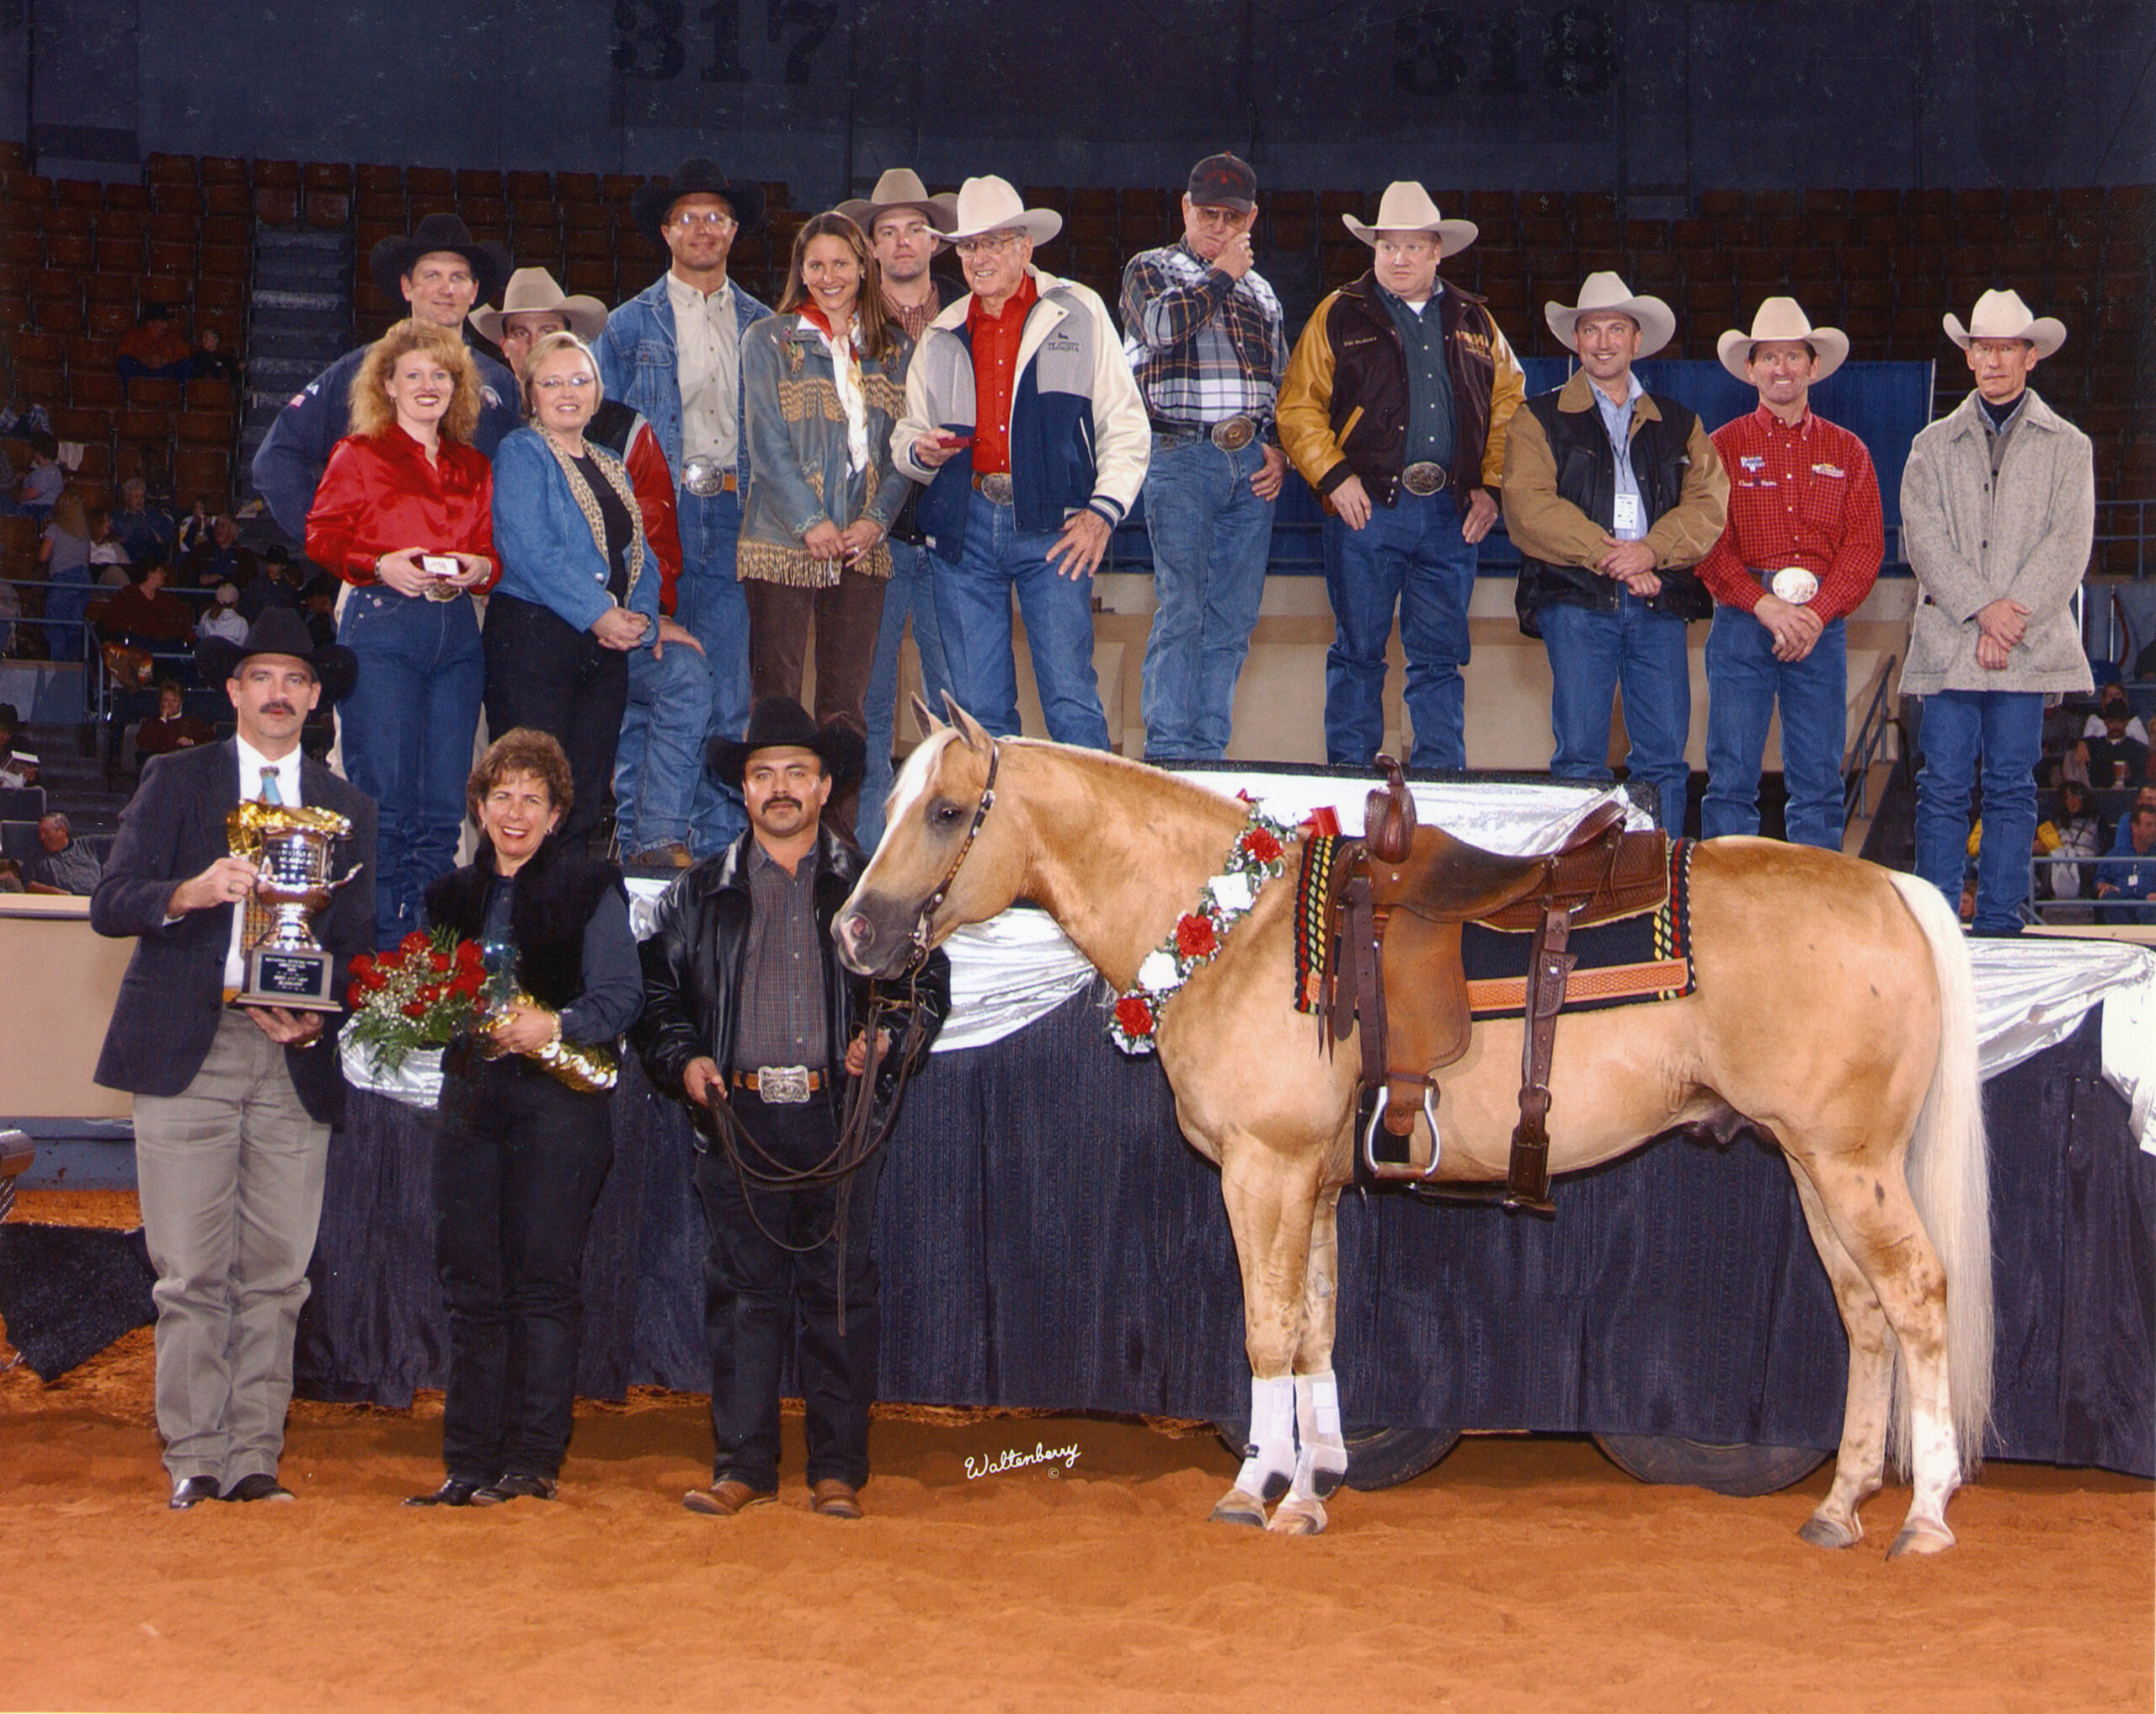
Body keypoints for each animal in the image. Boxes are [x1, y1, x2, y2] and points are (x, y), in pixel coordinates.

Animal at [834, 703, 1992, 1554]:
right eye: (889, 801)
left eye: (945, 810)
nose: (852, 933)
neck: (1235, 928)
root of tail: (1890, 886)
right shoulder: (1312, 1183)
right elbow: (1316, 1330)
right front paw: (1313, 1488)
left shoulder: (1261, 1172)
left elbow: (1266, 1330)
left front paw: (1253, 1491)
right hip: (1814, 1166)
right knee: (1864, 1314)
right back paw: (1839, 1508)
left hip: (1849, 1167)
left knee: (1917, 1297)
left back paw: (1928, 1515)